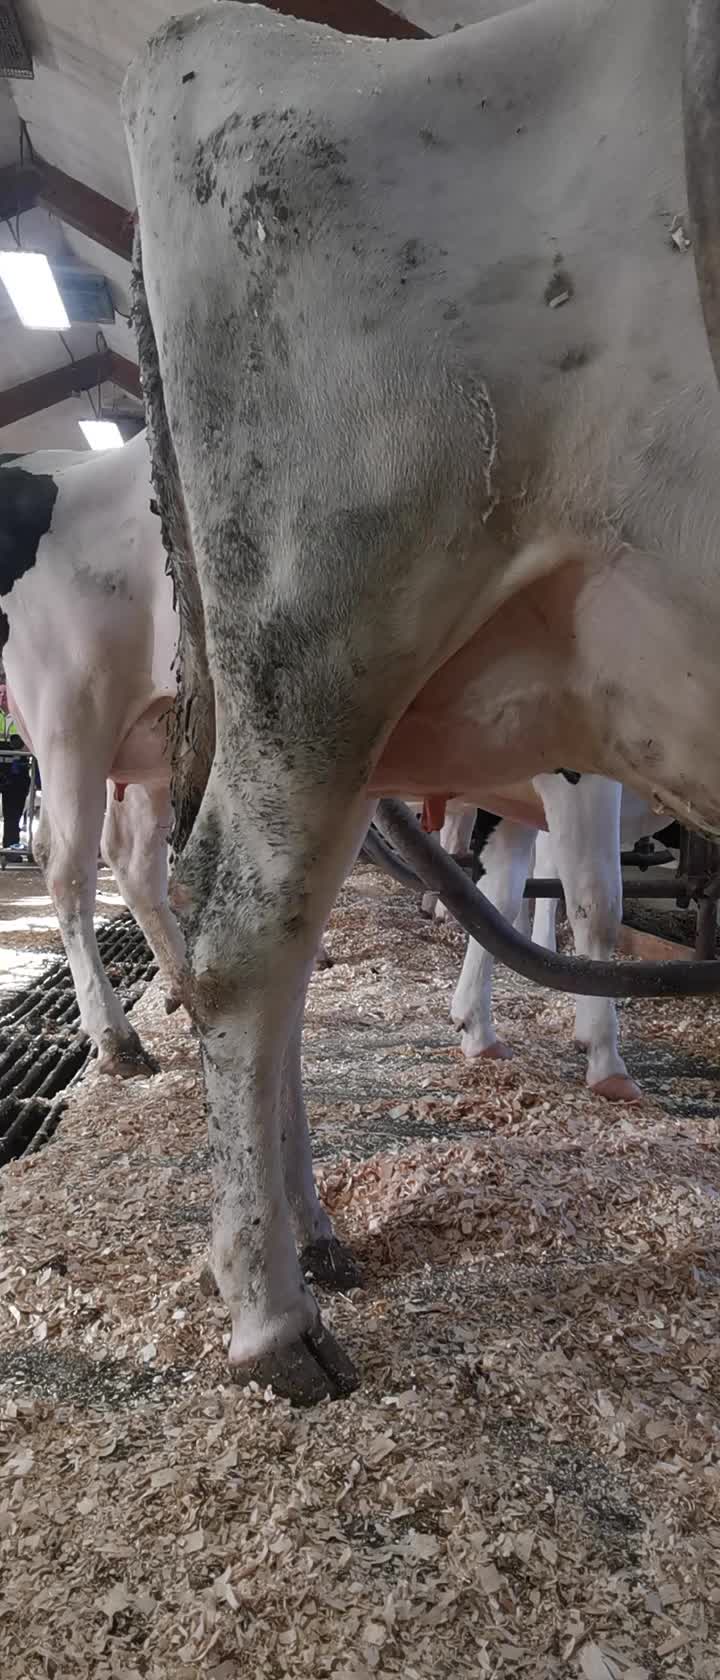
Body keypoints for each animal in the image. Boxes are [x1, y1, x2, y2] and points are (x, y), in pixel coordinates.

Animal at [123, 0, 720, 1403]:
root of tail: (201, 35)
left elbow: (511, 895)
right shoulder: (574, 769)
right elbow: (591, 906)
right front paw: (601, 1063)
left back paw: (317, 1234)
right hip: (321, 632)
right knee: (242, 934)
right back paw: (273, 1315)